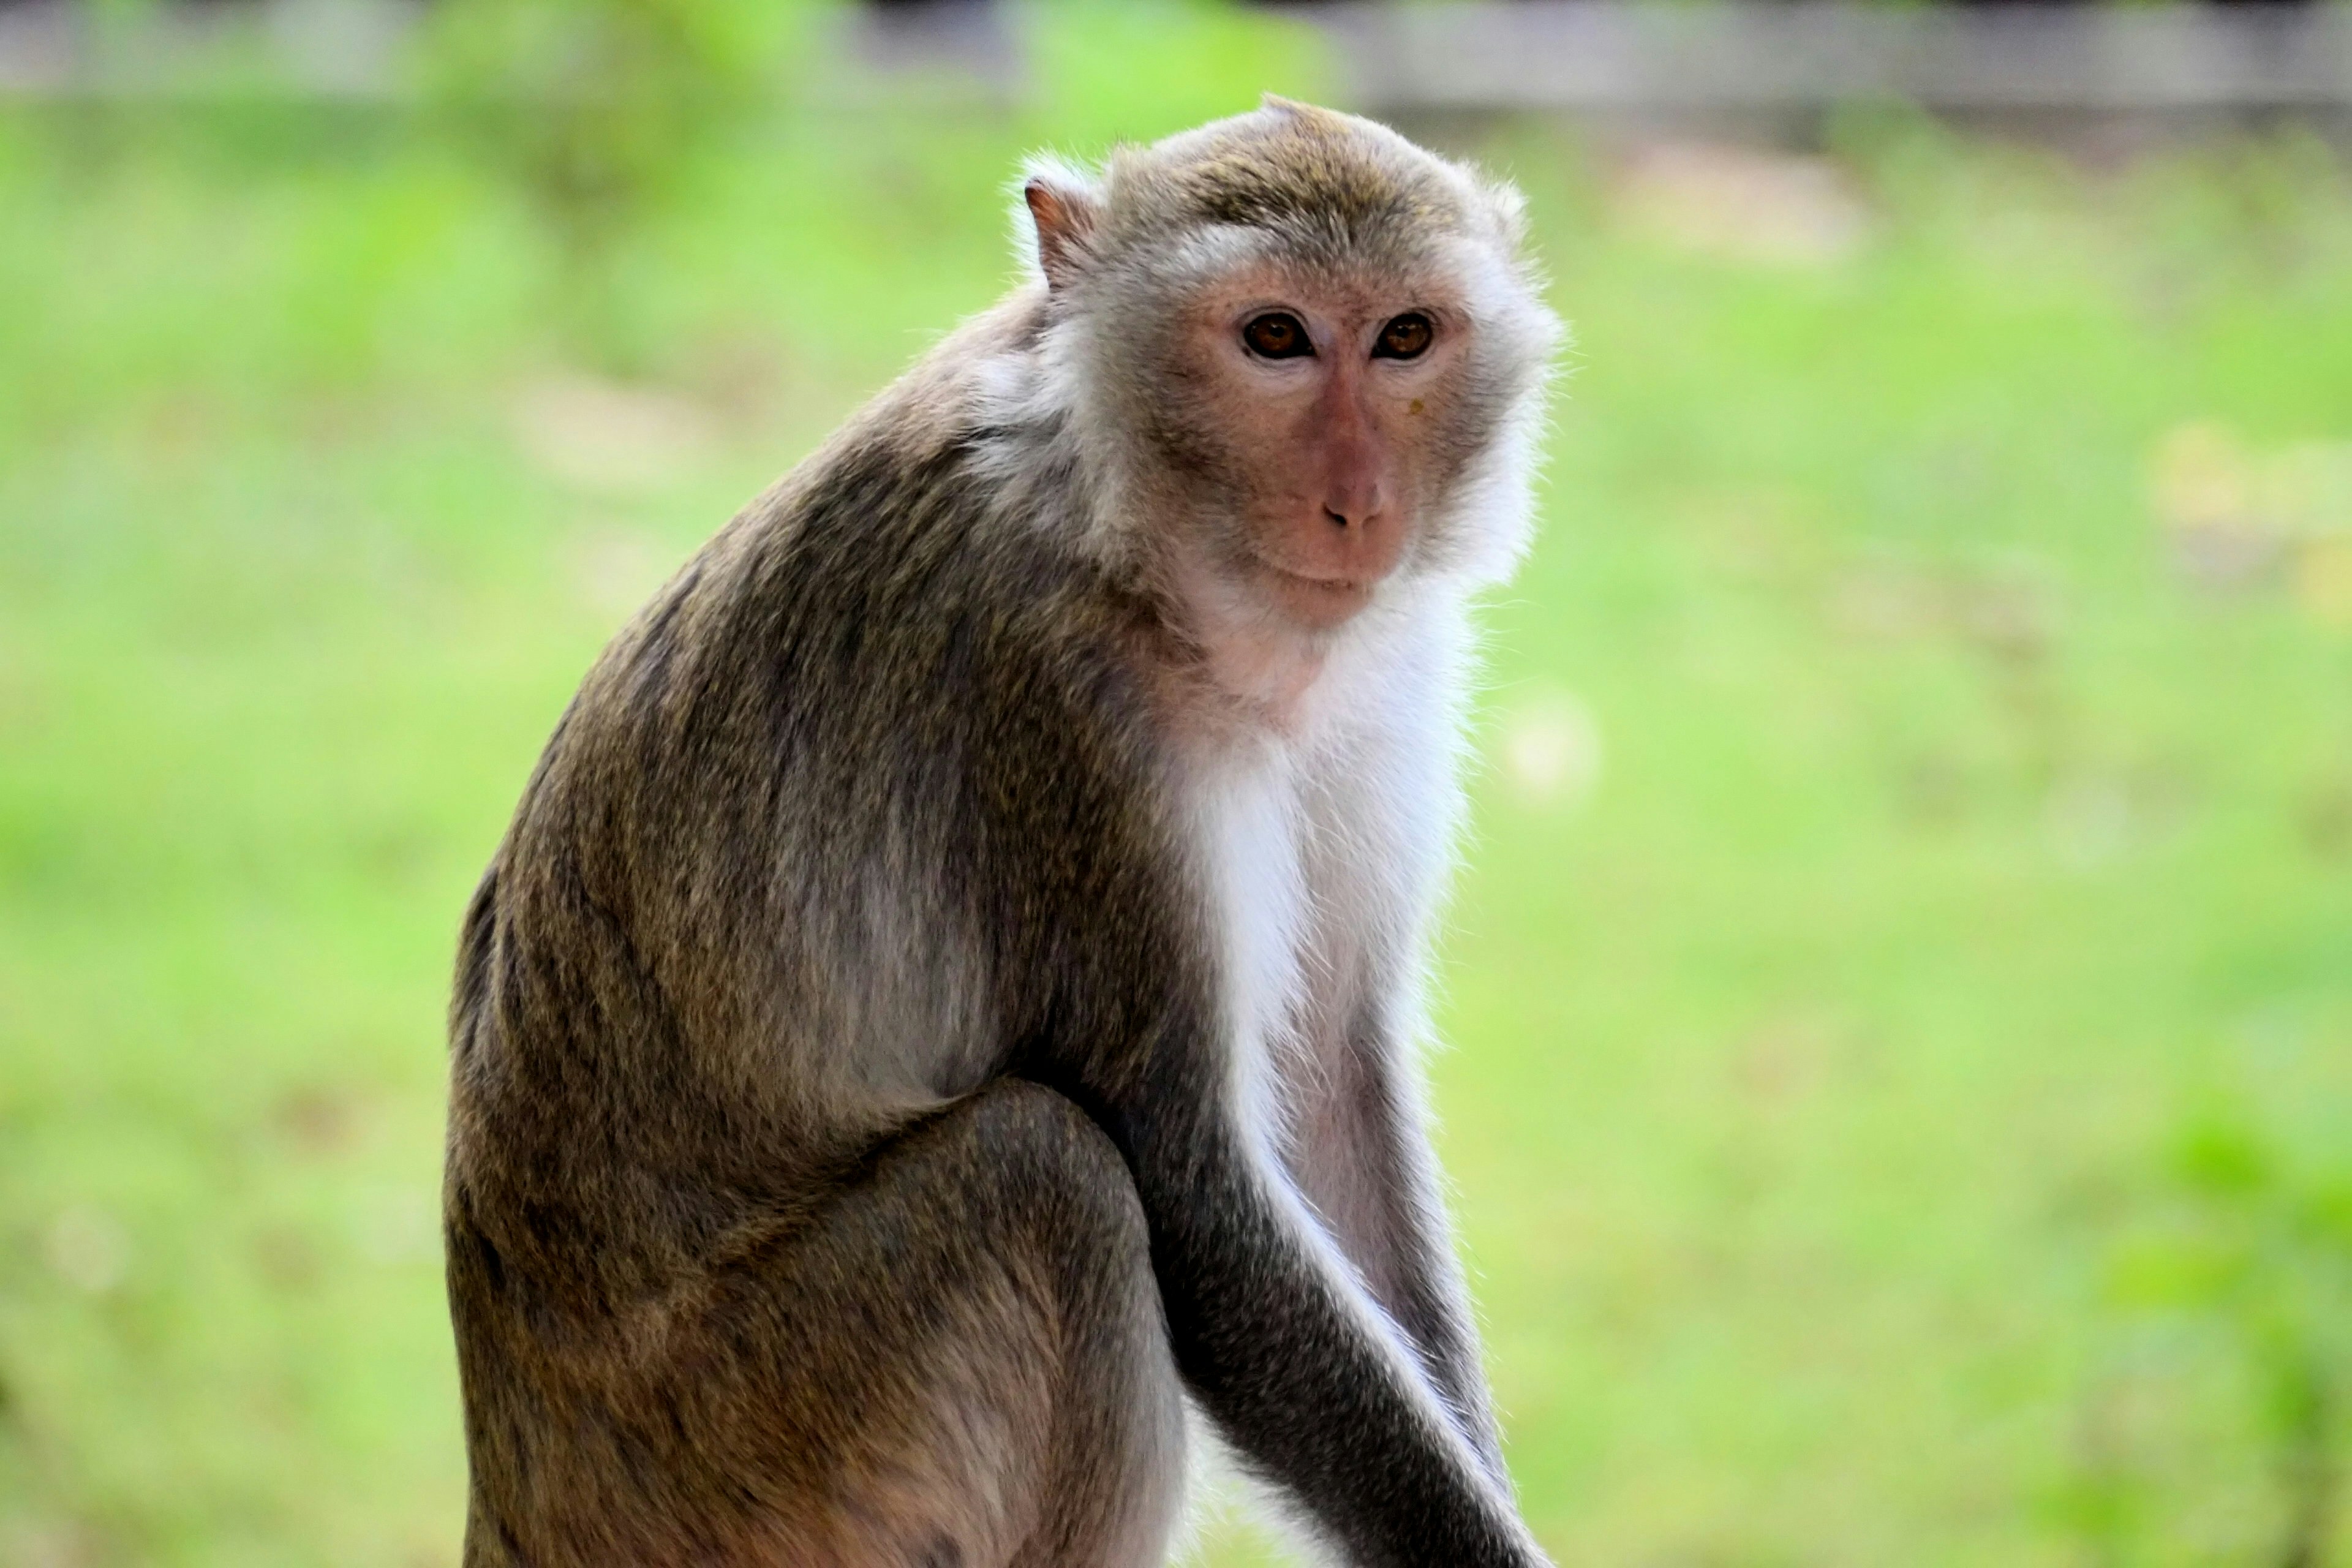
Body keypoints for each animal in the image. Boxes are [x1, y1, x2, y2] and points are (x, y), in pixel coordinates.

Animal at [444, 97, 1561, 1567]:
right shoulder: (1063, 722)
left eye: (1406, 337)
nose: (1360, 500)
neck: (1139, 539)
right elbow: (1188, 1182)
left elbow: (1327, 1084)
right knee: (1046, 1176)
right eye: (1274, 337)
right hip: (756, 1443)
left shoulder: (1385, 688)